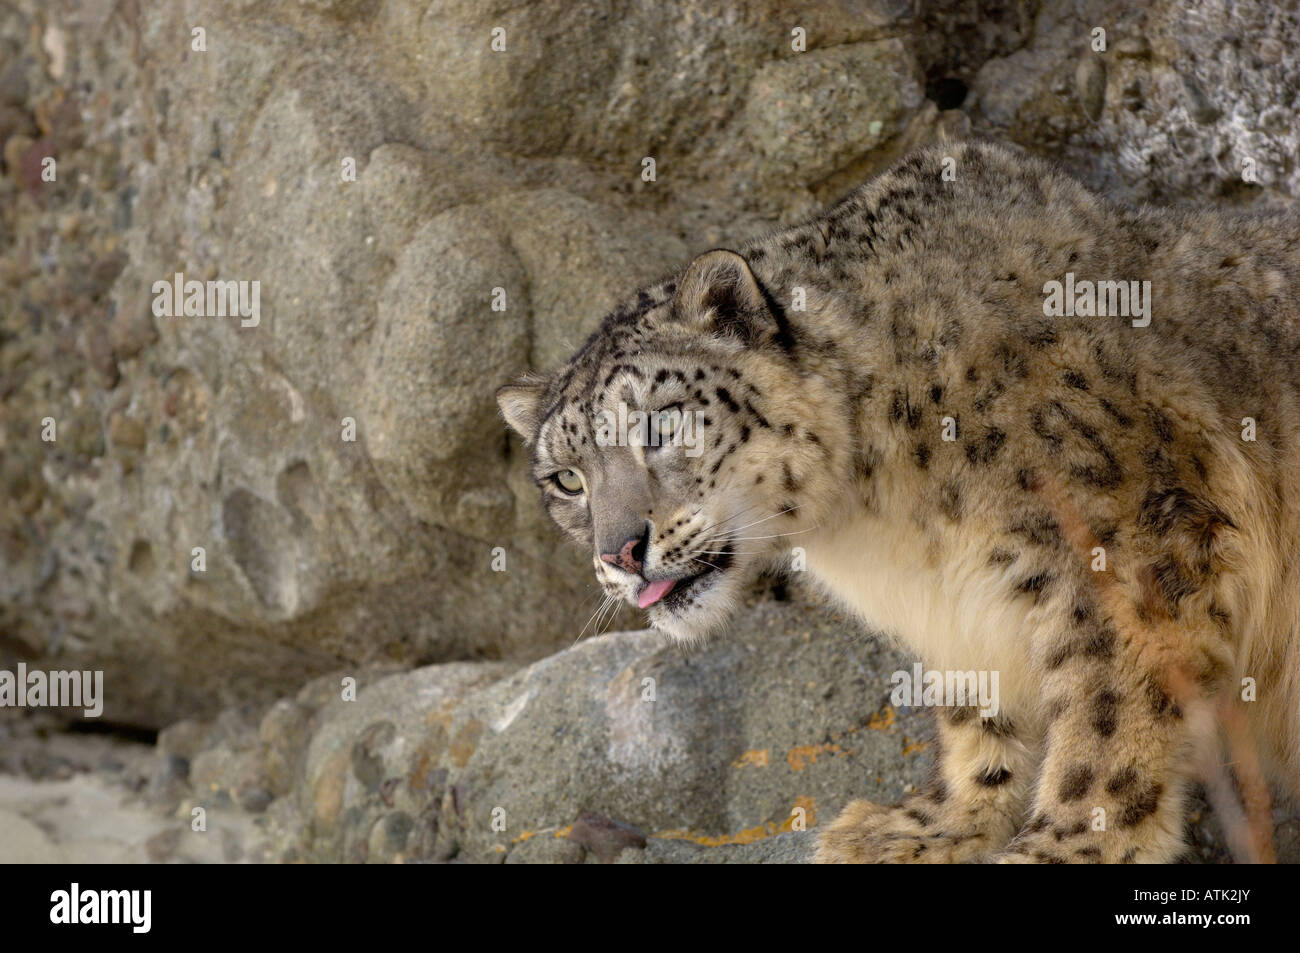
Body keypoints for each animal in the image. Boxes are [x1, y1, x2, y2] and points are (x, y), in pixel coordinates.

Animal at [496, 140, 1300, 863]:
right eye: (567, 479)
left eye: (660, 425)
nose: (620, 553)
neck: (879, 515)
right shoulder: (958, 610)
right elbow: (977, 711)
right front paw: (930, 827)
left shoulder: (1133, 540)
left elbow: (1109, 706)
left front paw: (1070, 840)